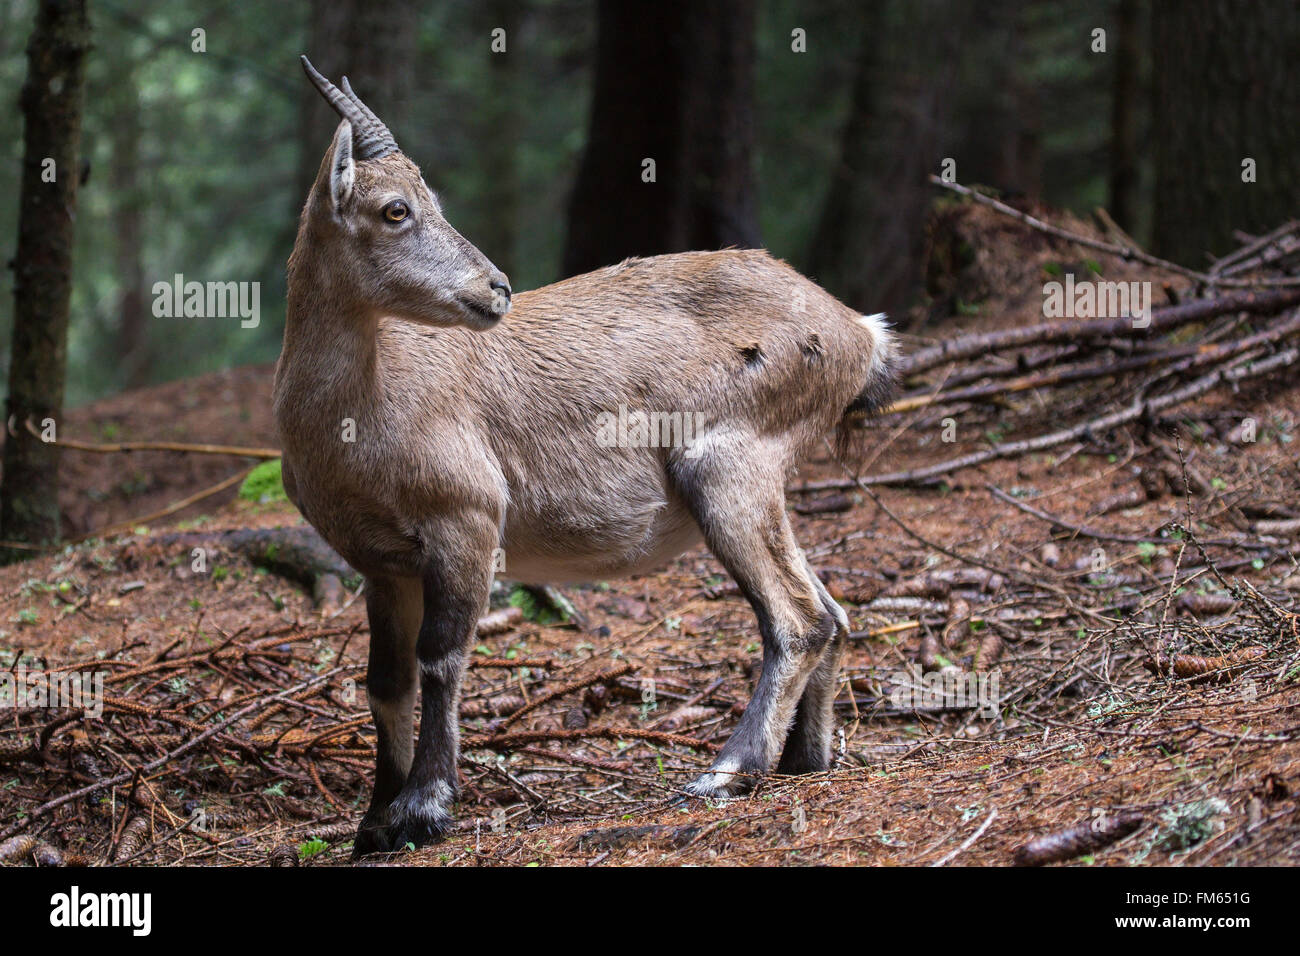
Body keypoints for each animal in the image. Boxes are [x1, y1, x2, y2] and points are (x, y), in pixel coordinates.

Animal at [274, 57, 898, 856]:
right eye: (395, 210)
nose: (497, 287)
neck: (361, 411)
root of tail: (858, 332)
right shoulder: (381, 560)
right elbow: (385, 680)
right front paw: (375, 821)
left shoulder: (464, 518)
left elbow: (440, 658)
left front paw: (424, 809)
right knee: (832, 610)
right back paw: (804, 757)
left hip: (728, 466)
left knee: (799, 616)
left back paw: (728, 771)